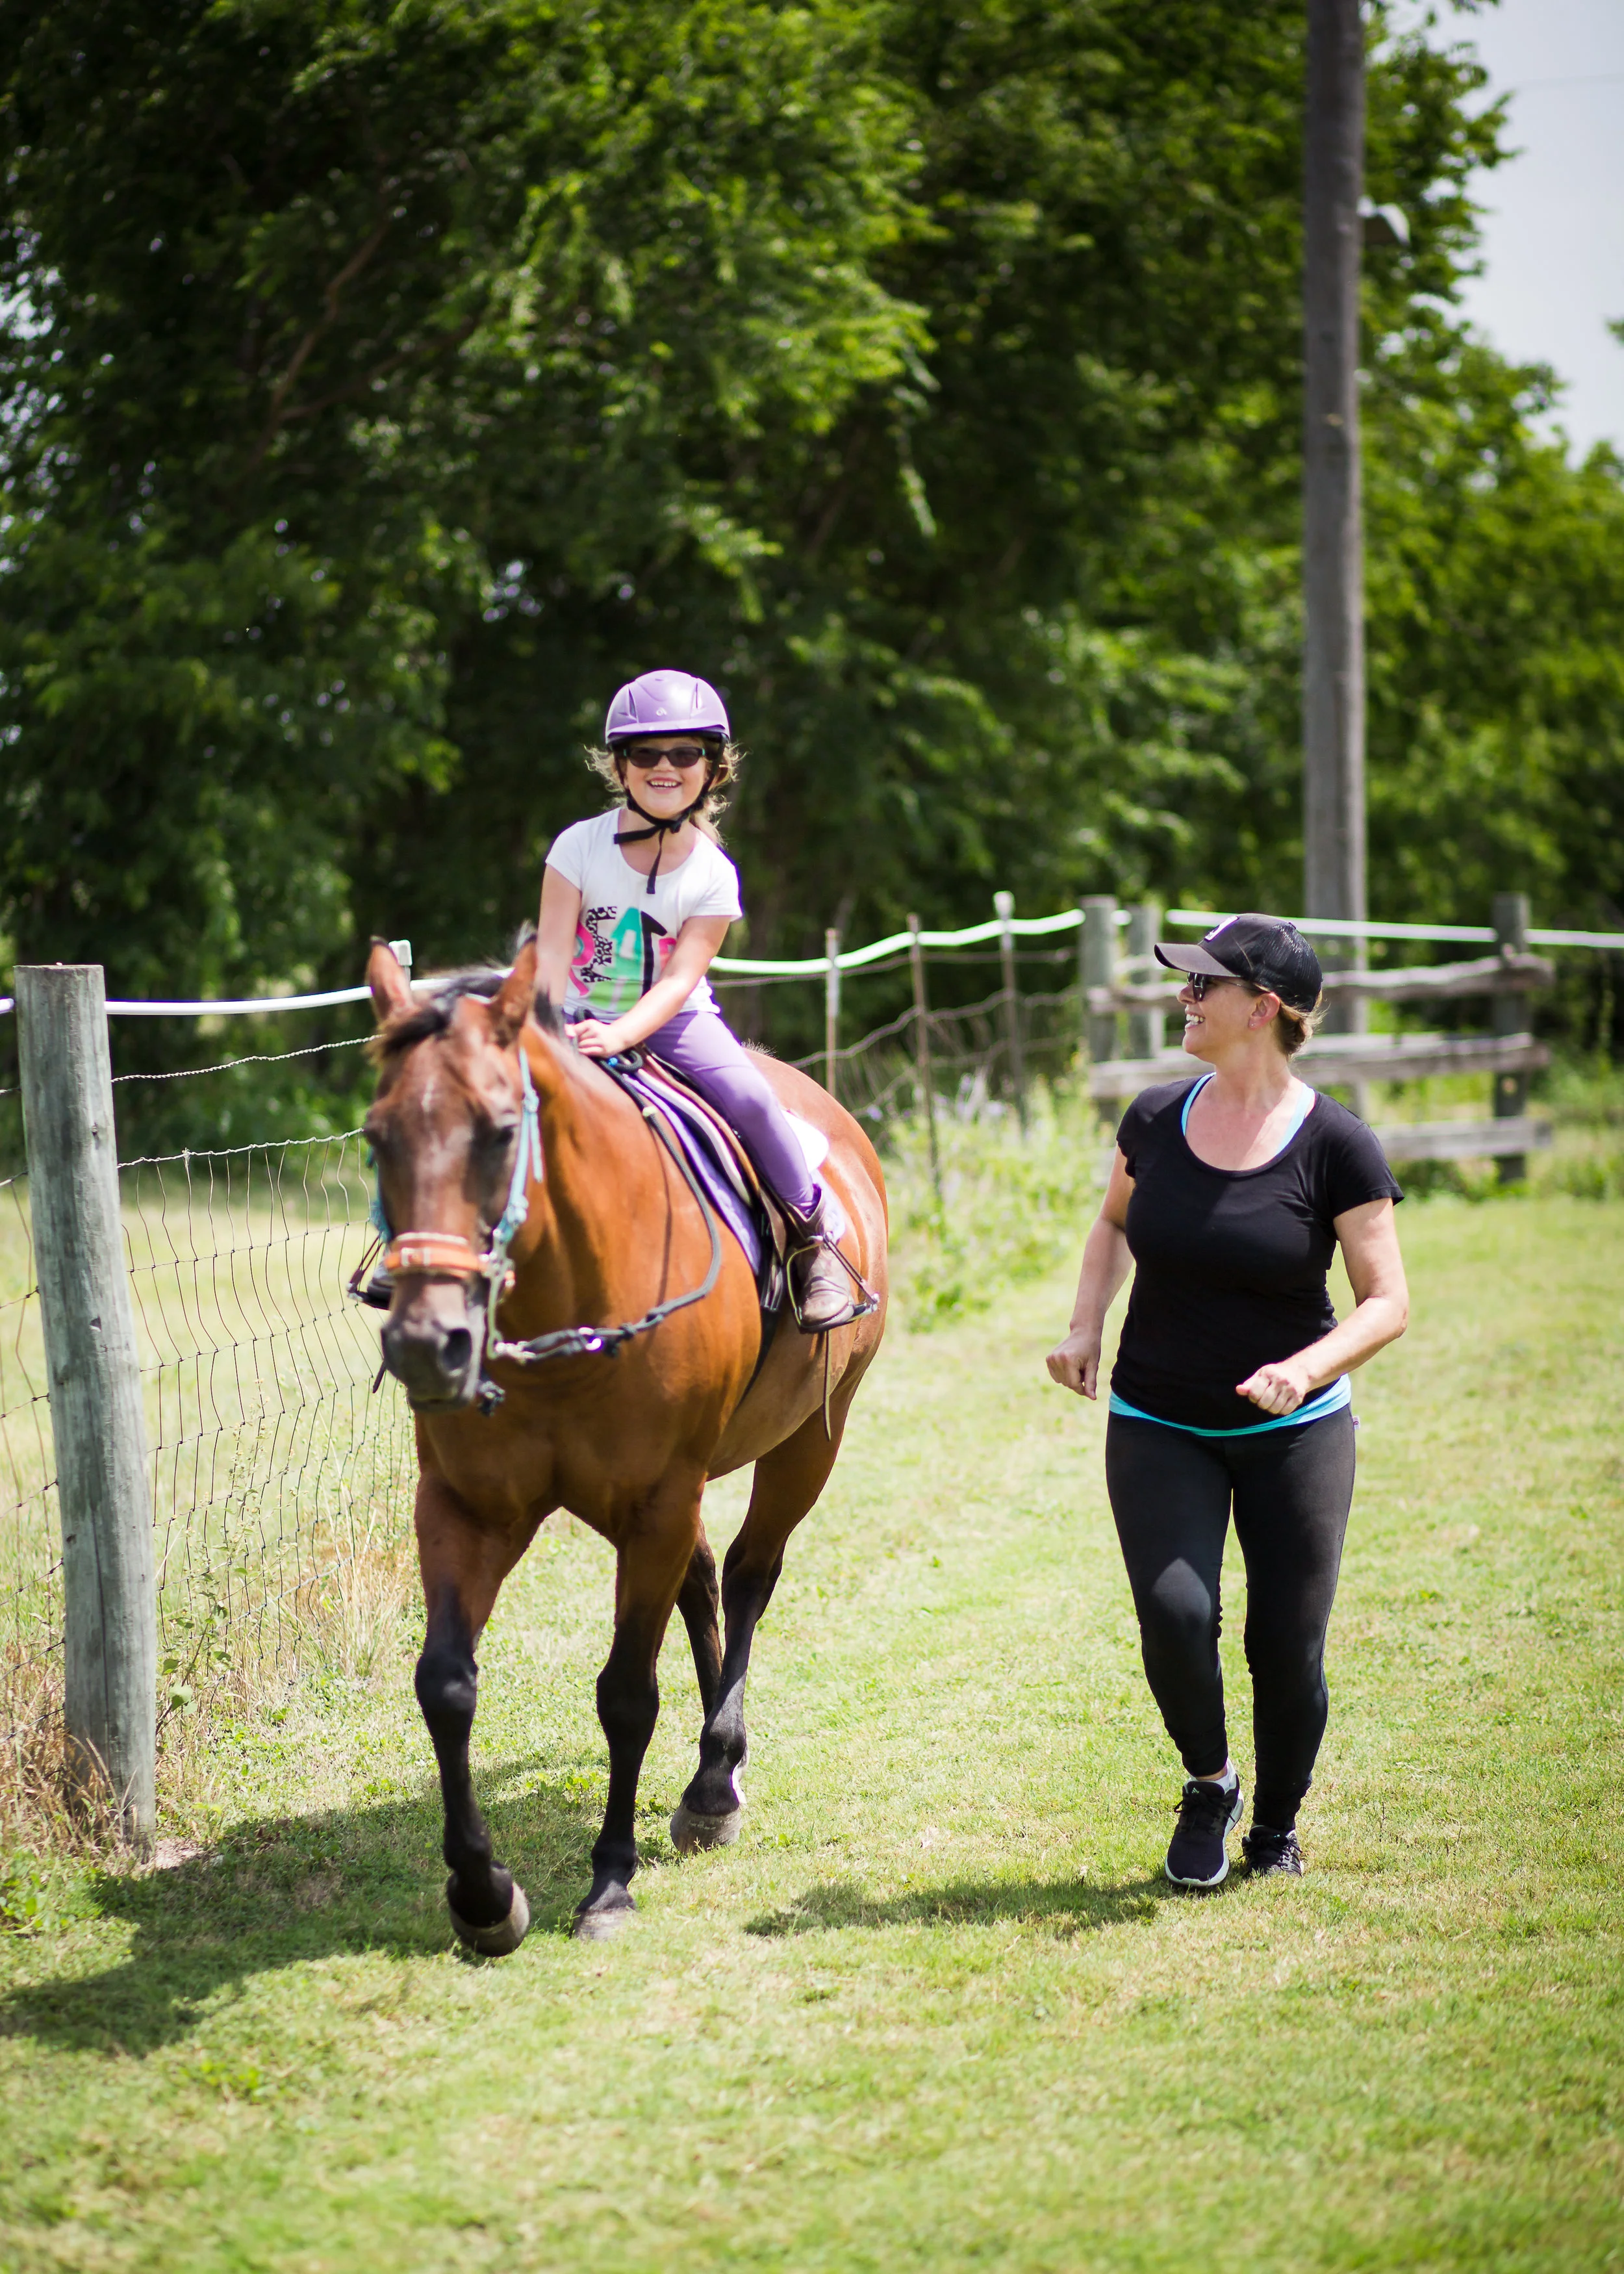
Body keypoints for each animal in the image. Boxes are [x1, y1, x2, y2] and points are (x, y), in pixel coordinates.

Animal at [361, 938, 889, 1947]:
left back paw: (714, 1779)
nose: (425, 1341)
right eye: (377, 1138)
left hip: (808, 1443)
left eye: (499, 1131)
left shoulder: (656, 1503)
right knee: (706, 1580)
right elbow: (445, 1684)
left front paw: (609, 1883)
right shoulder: (467, 1506)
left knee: (751, 1572)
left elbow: (625, 1694)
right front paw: (482, 1894)